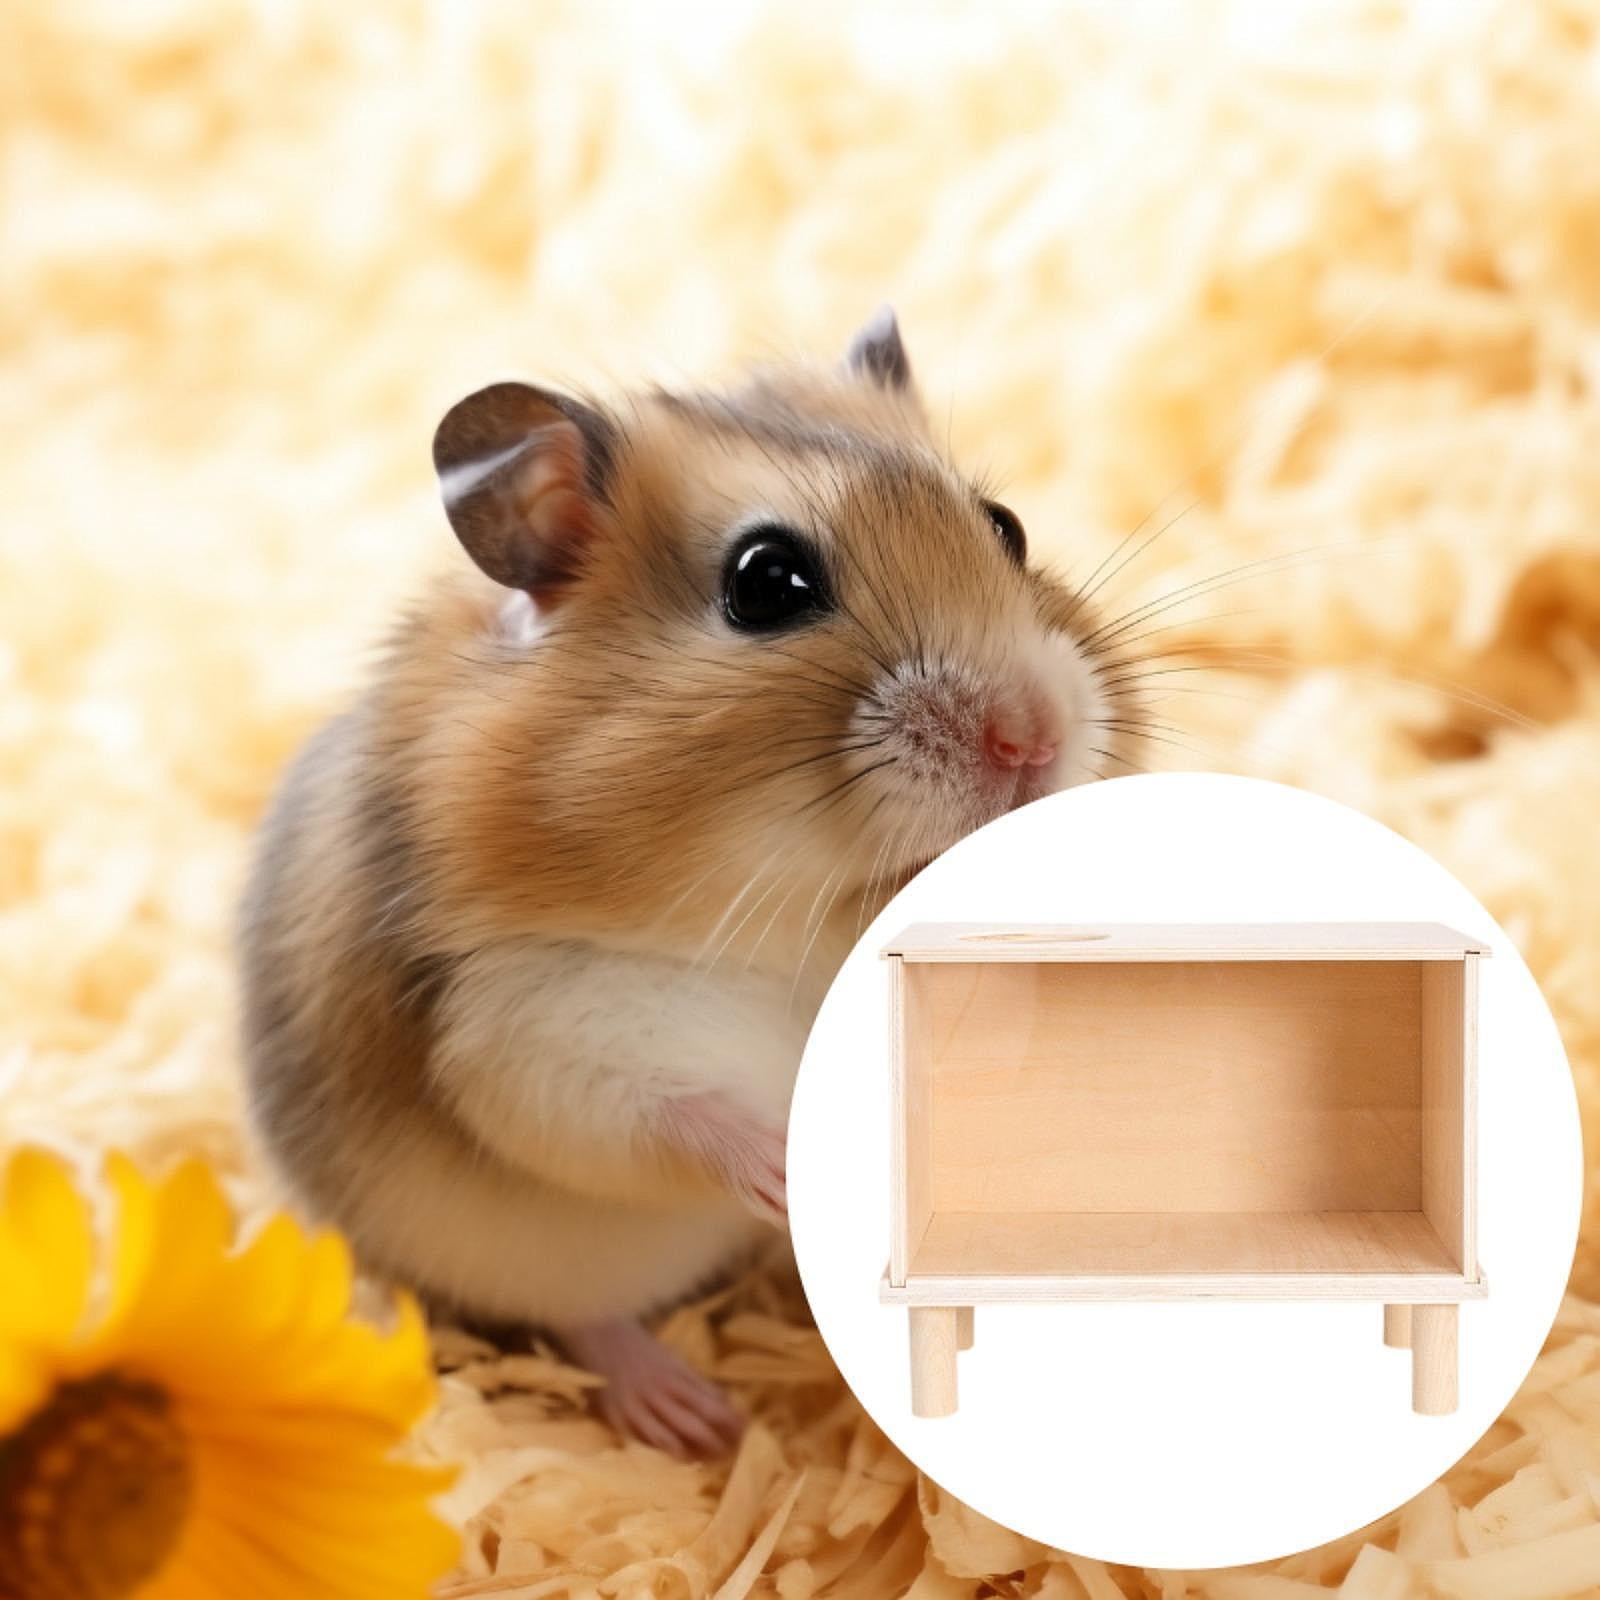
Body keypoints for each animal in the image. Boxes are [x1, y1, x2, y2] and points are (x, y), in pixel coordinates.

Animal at [238, 311, 1135, 1456]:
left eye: (1007, 526)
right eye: (765, 582)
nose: (1035, 737)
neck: (801, 910)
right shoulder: (528, 1025)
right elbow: (661, 1113)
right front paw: (786, 1173)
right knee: (585, 1318)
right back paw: (688, 1414)